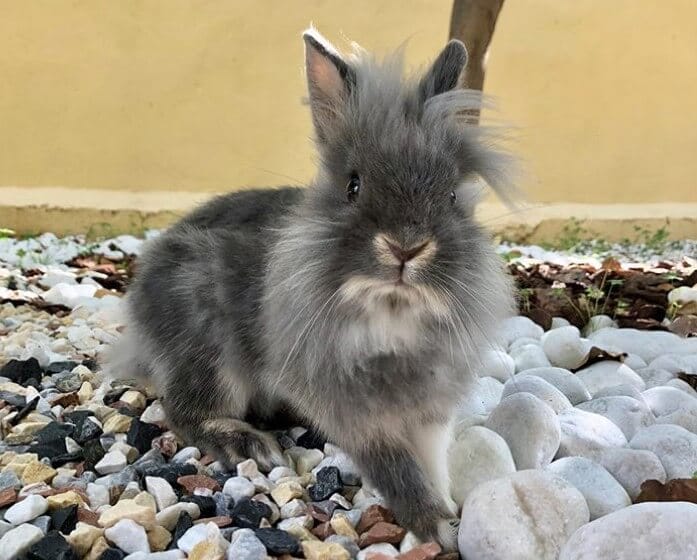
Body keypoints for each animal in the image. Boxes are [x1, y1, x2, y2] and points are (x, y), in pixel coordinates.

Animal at [106, 28, 515, 549]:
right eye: (353, 186)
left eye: (452, 195)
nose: (406, 247)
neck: (391, 312)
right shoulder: (350, 409)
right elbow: (394, 463)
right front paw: (435, 524)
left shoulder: (432, 409)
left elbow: (432, 459)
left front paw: (447, 507)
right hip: (204, 346)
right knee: (182, 409)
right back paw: (249, 443)